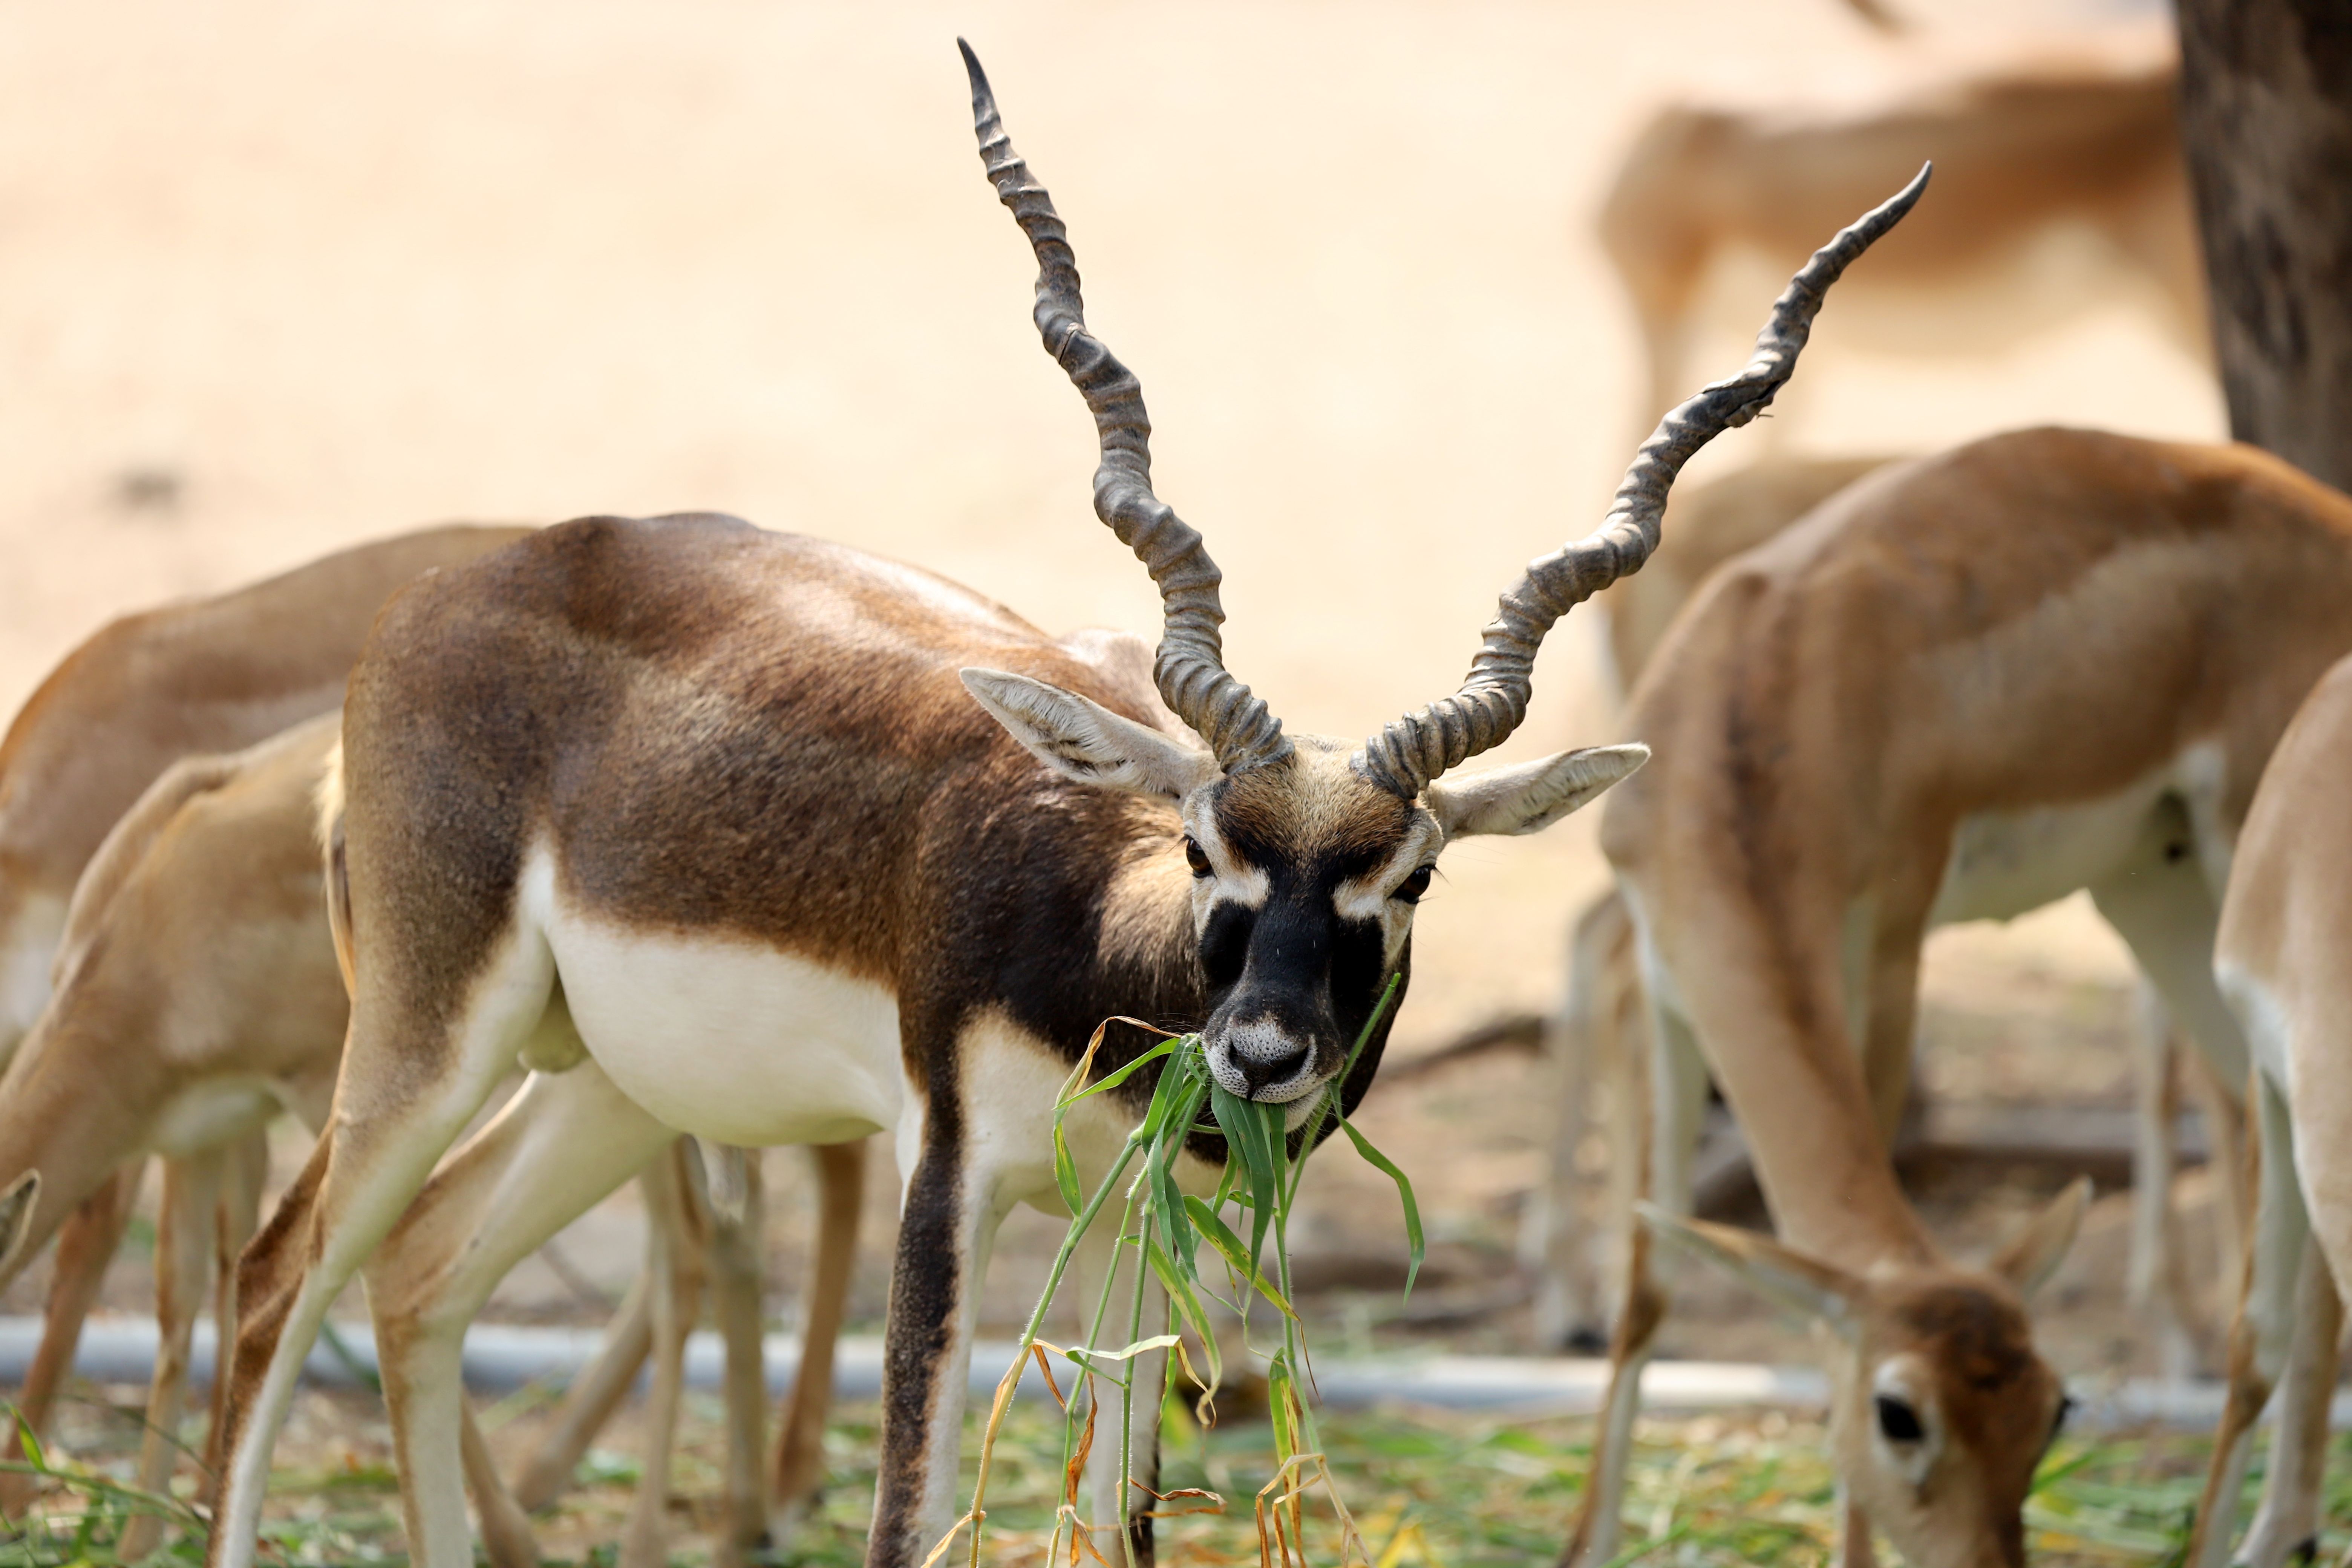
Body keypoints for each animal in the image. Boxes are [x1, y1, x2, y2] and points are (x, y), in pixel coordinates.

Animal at [0, 706, 859, 1566]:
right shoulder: (203, 1132)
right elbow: (182, 1293)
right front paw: (148, 1531)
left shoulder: (316, 1087)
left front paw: (512, 1540)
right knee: (724, 1232)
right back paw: (730, 1509)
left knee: (702, 1243)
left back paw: (696, 1520)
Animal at [197, 44, 1919, 1568]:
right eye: (1209, 846)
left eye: (1408, 877)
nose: (1265, 1051)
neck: (1109, 948)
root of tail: (458, 585)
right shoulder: (945, 1173)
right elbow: (905, 1515)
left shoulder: (1144, 1218)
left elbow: (1123, 1514)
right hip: (432, 1029)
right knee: (279, 1283)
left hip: (615, 1079)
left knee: (422, 1277)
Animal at [1565, 427, 2352, 1568]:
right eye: (1902, 1414)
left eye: (2056, 1407)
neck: (1757, 705)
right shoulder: (1671, 991)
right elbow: (1649, 1289)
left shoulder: (1887, 954)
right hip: (2152, 896)